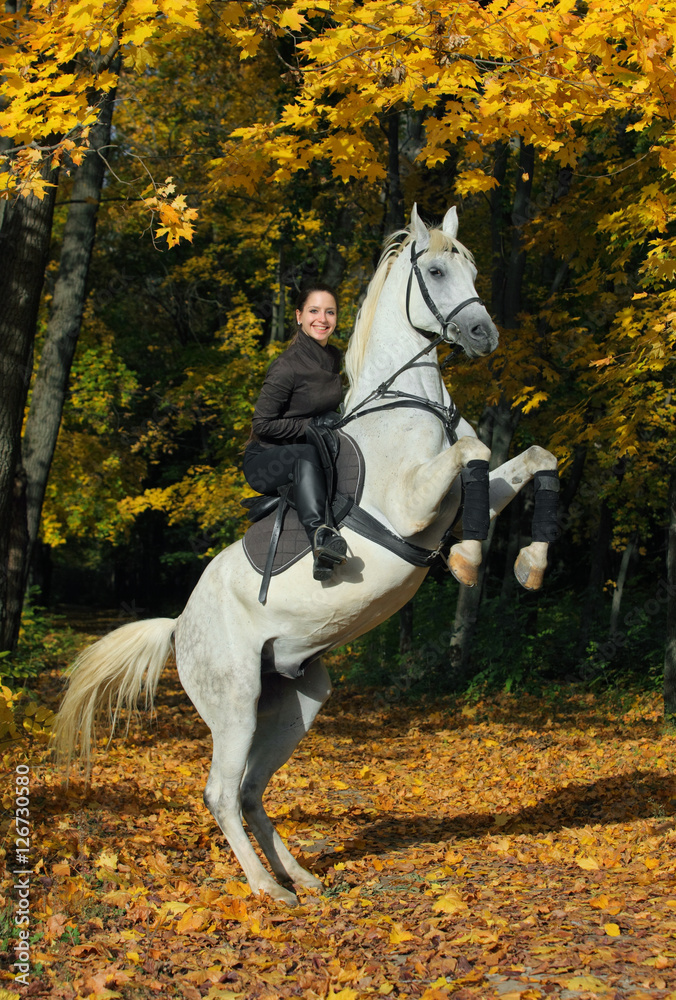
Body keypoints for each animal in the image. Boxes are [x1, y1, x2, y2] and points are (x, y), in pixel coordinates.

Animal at [53, 205, 558, 906]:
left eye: (474, 269)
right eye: (435, 270)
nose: (485, 334)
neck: (411, 405)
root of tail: (179, 625)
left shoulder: (459, 494)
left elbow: (534, 456)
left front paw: (526, 563)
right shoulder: (417, 503)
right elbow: (476, 450)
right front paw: (467, 559)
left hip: (298, 700)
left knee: (250, 790)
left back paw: (301, 876)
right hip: (233, 702)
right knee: (220, 792)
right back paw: (269, 889)